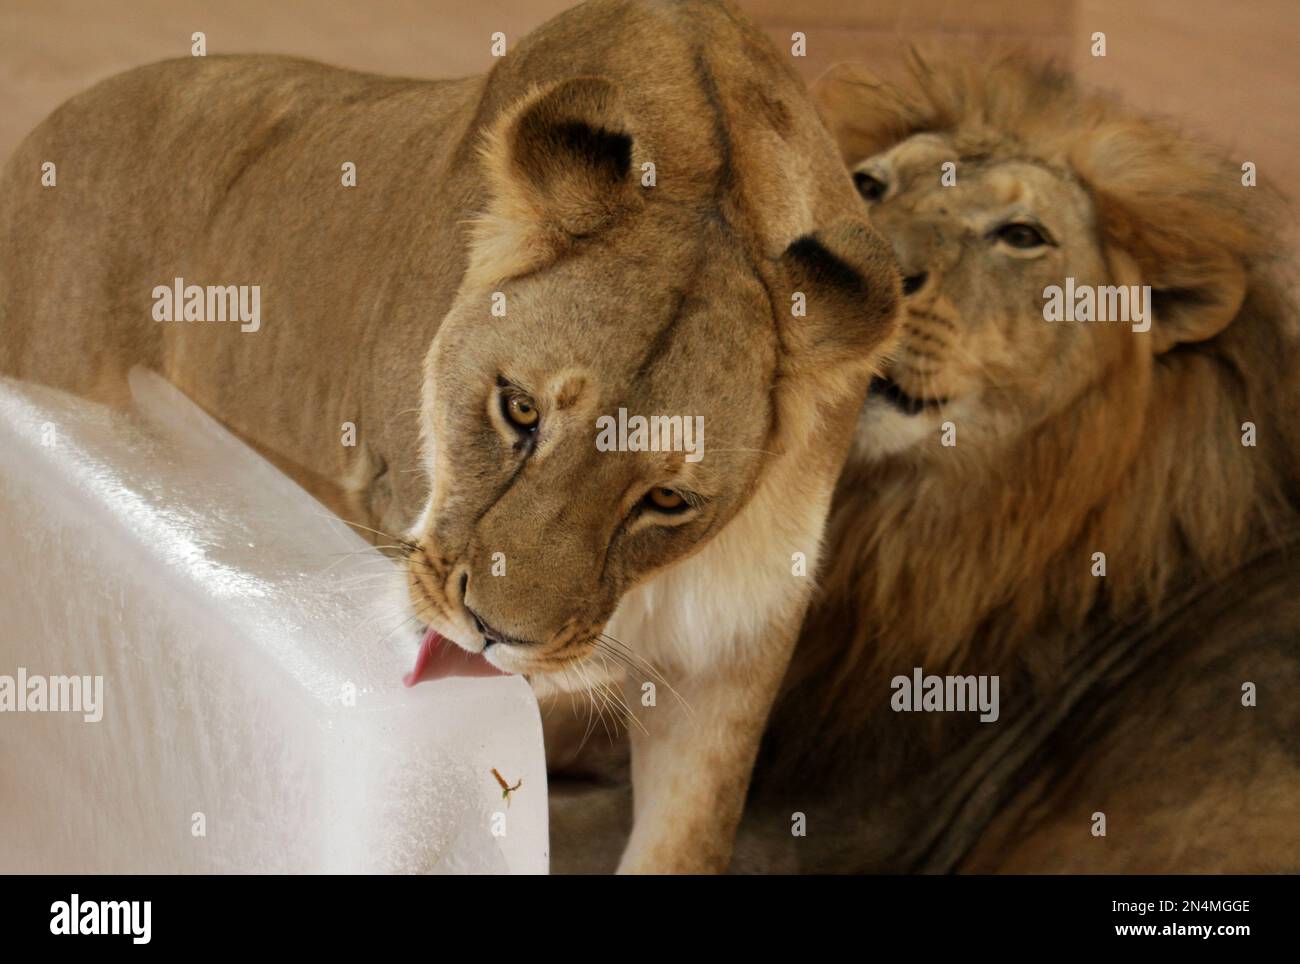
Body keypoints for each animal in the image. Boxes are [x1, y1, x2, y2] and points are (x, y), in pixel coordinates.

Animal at [0, 0, 900, 873]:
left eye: (668, 499)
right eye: (520, 411)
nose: (494, 634)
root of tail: (46, 134)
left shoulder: (732, 661)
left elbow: (682, 843)